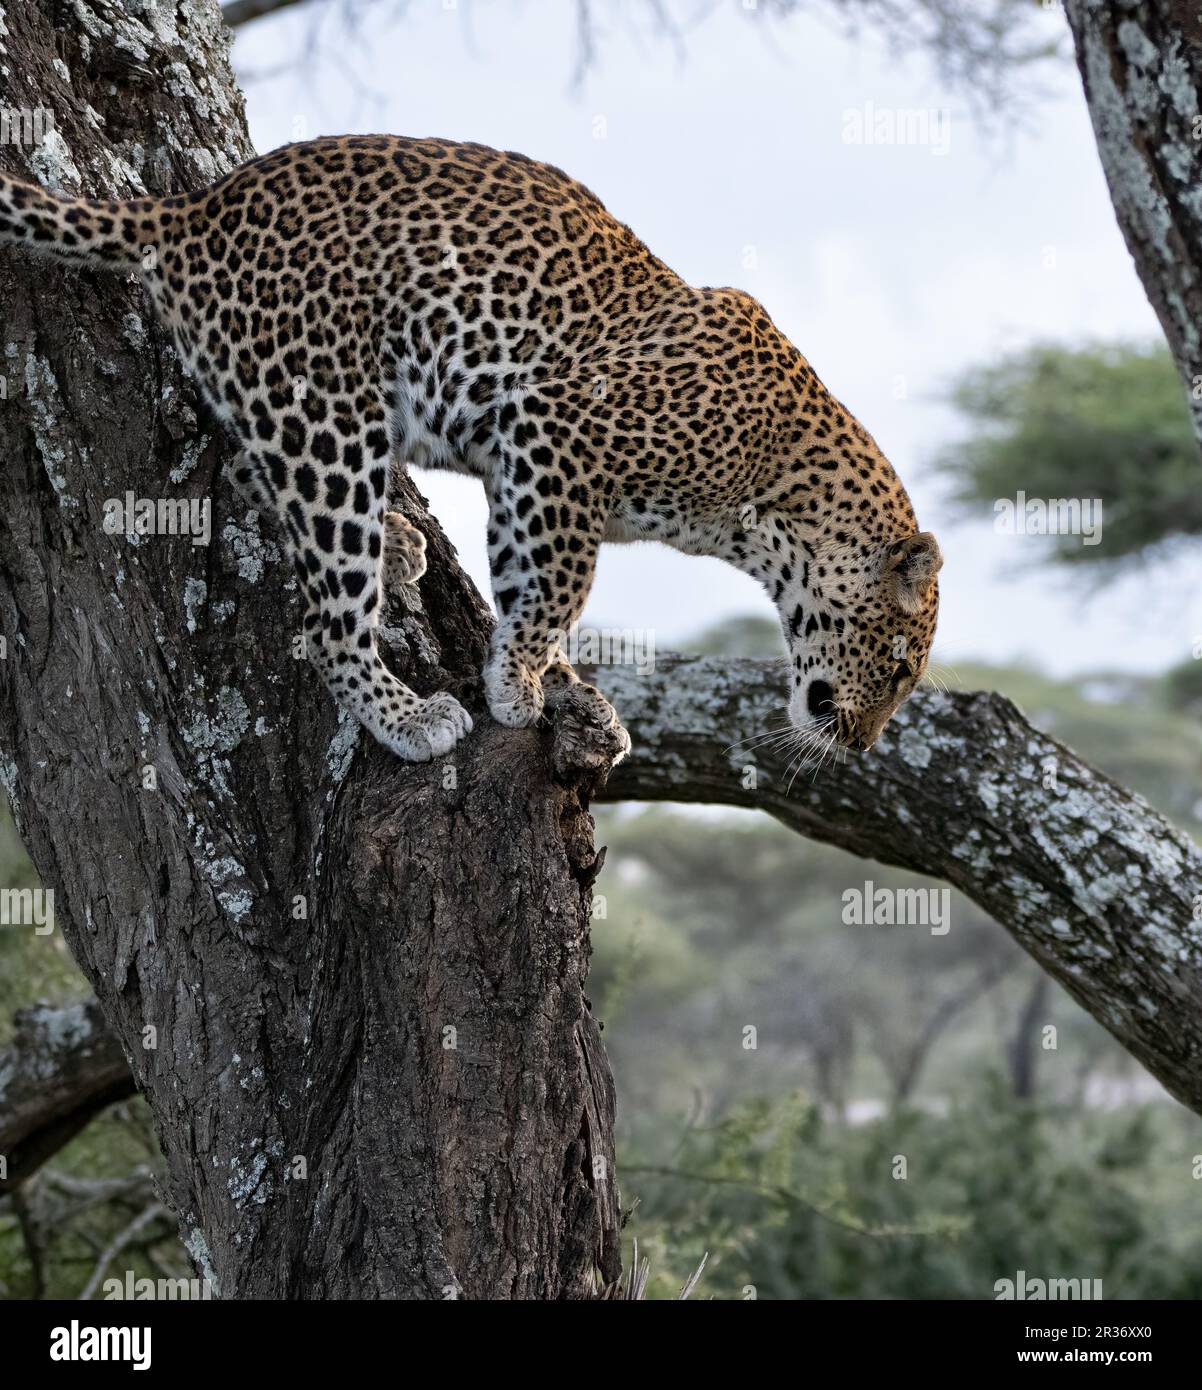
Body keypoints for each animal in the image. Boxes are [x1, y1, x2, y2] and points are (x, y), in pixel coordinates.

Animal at [0, 134, 941, 763]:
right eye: (898, 670)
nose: (863, 744)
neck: (778, 501)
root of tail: (192, 208)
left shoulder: (528, 463)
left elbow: (530, 579)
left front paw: (550, 680)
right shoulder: (559, 430)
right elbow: (559, 585)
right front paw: (517, 683)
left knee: (250, 468)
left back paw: (396, 543)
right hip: (326, 410)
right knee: (327, 619)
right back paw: (407, 713)